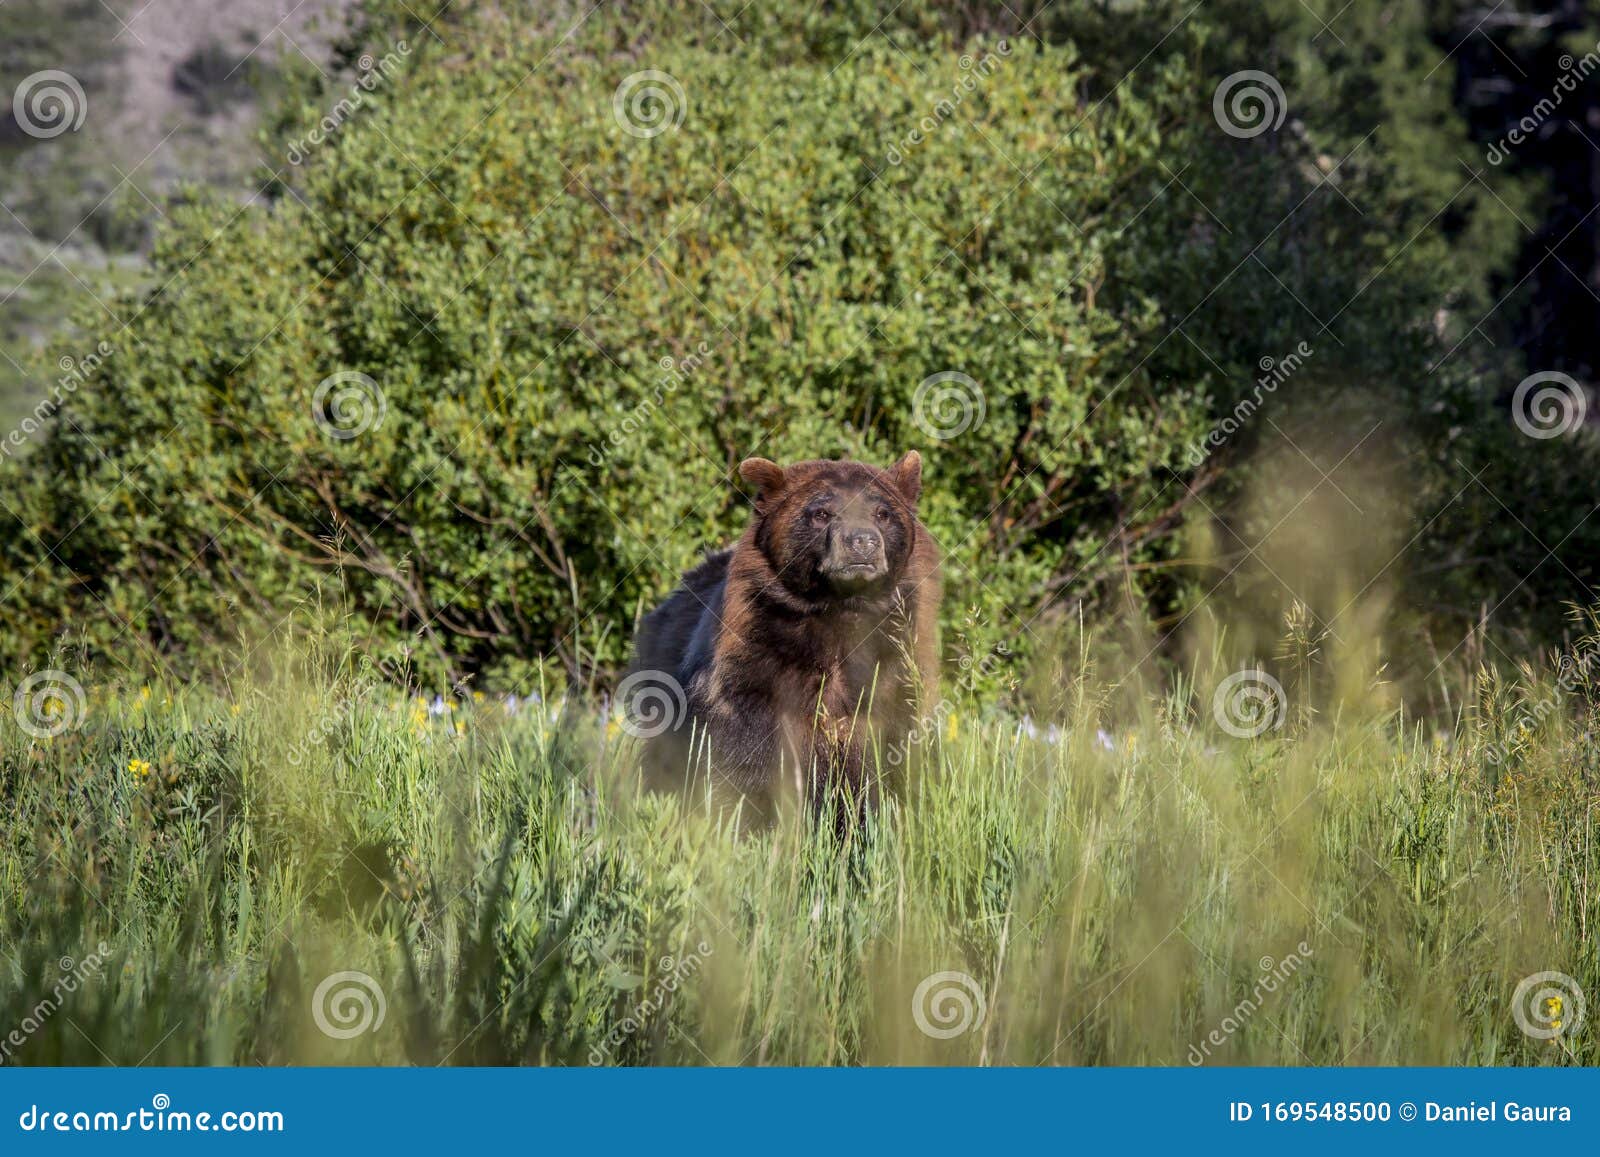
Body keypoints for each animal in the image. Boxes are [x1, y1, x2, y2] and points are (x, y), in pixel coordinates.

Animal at [627, 451, 940, 825]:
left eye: (882, 513)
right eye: (821, 513)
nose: (863, 542)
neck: (837, 614)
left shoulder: (890, 674)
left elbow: (886, 764)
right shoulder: (757, 672)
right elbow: (749, 763)